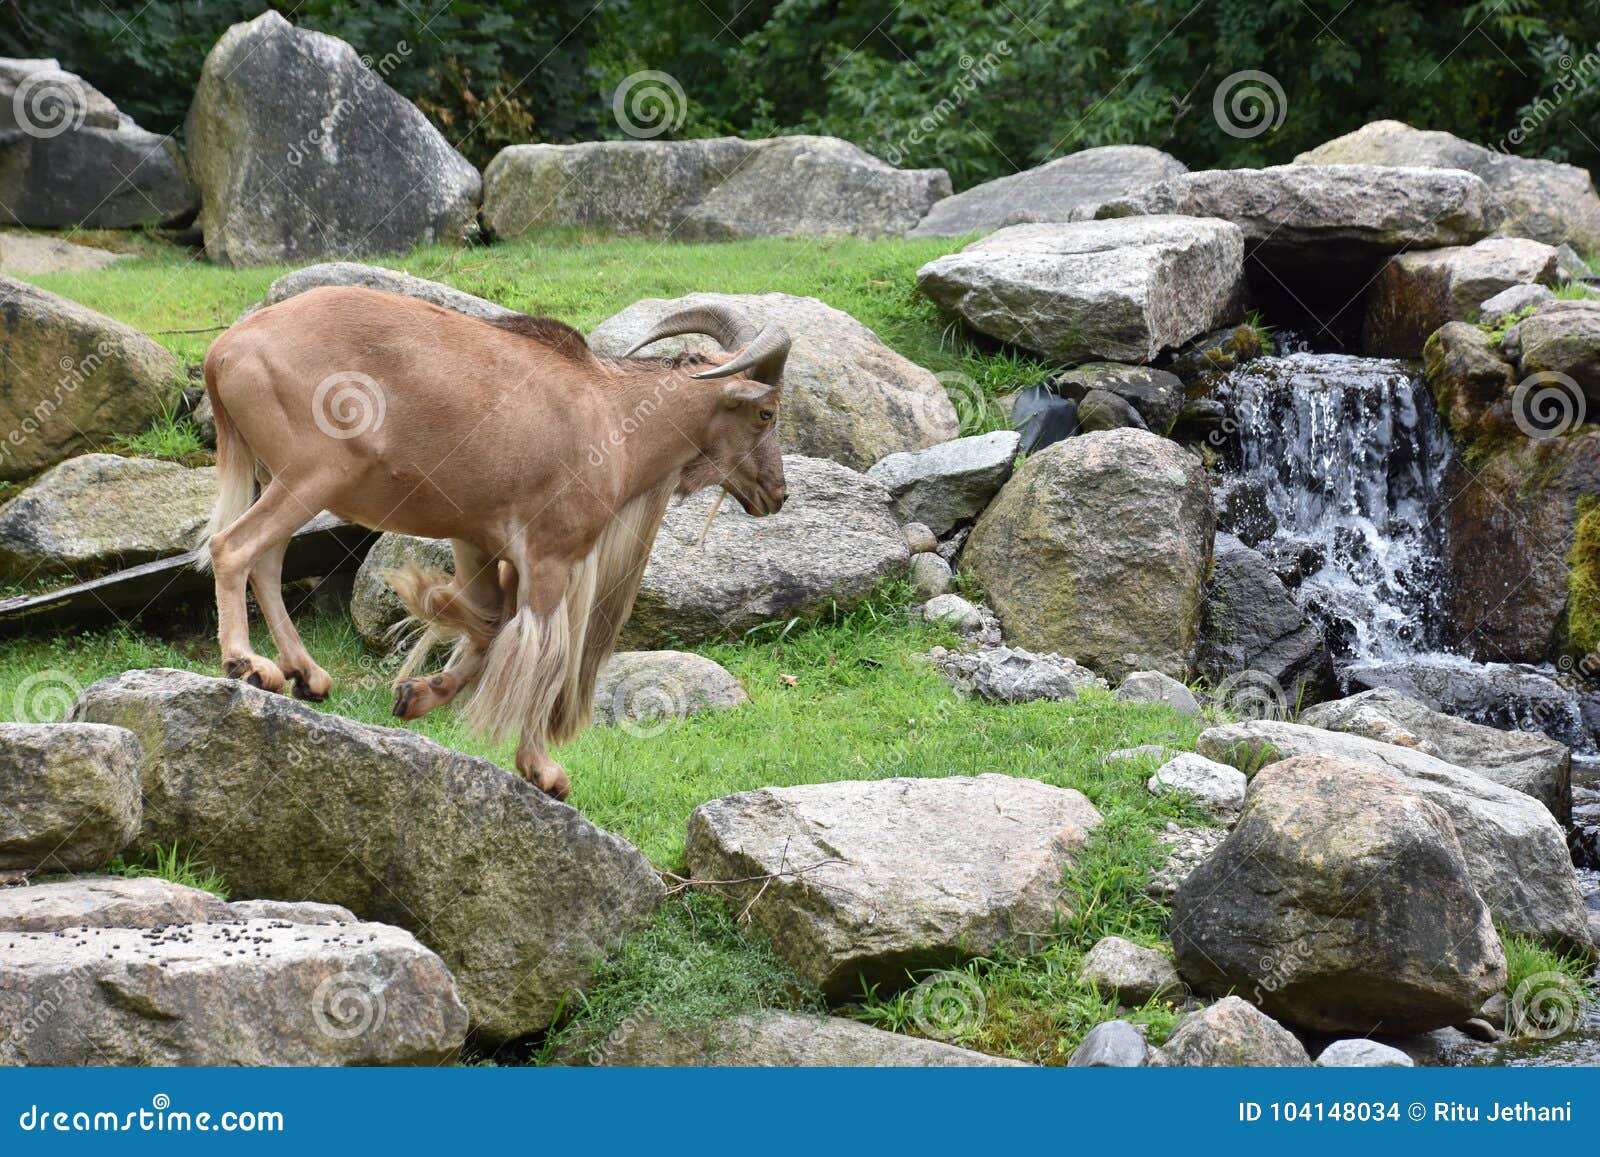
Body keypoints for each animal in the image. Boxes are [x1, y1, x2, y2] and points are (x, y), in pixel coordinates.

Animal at [197, 287, 790, 799]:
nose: (778, 494)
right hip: (313, 475)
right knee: (232, 547)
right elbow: (539, 653)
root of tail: (223, 352)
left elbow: (487, 631)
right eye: (766, 413)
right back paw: (247, 663)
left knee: (266, 562)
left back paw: (307, 675)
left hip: (283, 478)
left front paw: (415, 695)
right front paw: (543, 770)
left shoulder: (477, 545)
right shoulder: (550, 557)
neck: (614, 418)